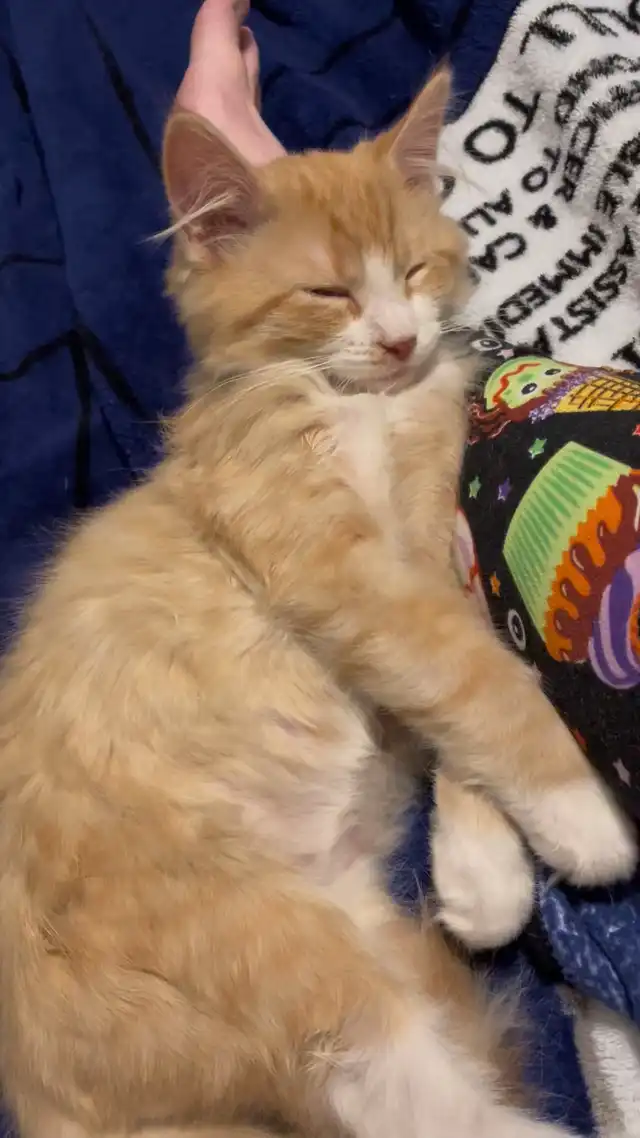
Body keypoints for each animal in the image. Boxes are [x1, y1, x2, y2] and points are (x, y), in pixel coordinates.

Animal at [0, 69, 635, 1138]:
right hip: (279, 962)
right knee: (434, 1111)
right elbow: (483, 681)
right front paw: (582, 813)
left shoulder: (431, 542)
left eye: (415, 269)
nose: (400, 338)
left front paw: (483, 870)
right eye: (328, 292)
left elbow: (463, 684)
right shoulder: (333, 568)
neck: (359, 406)